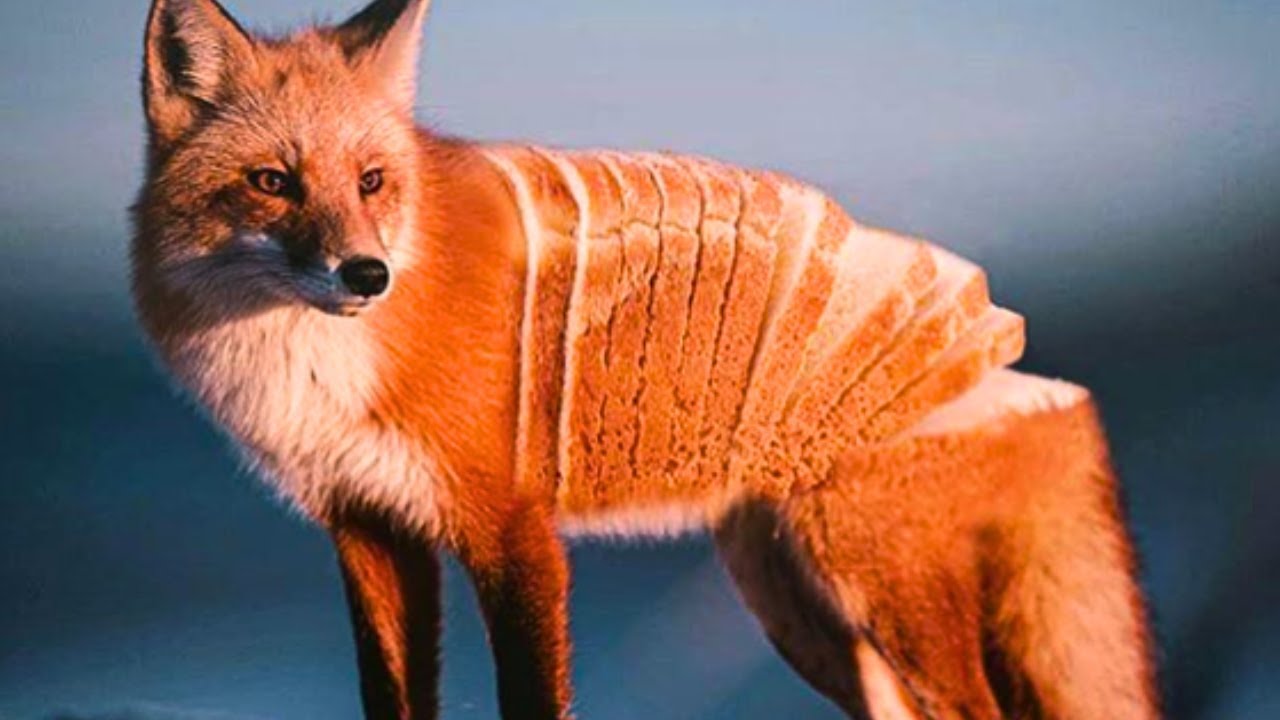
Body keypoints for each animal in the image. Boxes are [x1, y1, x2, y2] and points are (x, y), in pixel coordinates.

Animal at [131, 0, 1159, 718]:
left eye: (373, 181)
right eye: (272, 181)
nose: (367, 274)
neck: (313, 367)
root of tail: (1028, 376)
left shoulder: (513, 532)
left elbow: (531, 699)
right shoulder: (370, 529)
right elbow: (392, 696)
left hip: (878, 597)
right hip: (803, 613)